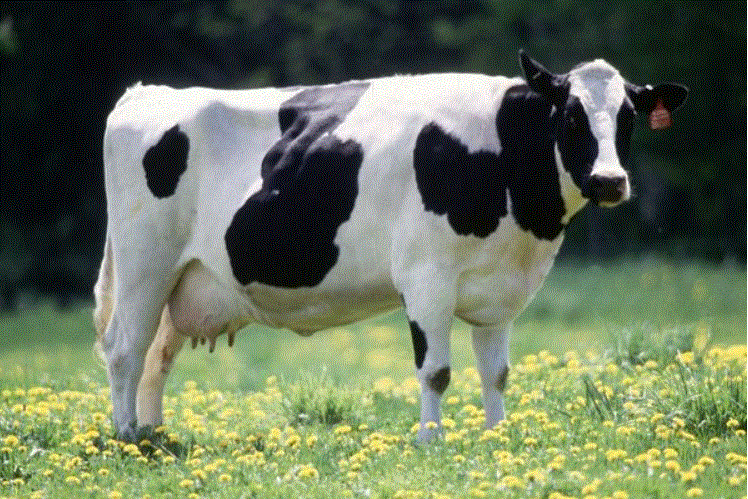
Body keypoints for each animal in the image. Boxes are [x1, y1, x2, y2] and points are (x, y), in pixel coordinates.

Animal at [94, 51, 687, 443]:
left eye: (629, 117)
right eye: (570, 115)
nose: (610, 181)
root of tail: (147, 93)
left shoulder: (499, 291)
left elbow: (496, 372)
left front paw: (498, 438)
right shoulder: (427, 277)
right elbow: (436, 370)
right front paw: (430, 442)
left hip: (183, 279)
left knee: (156, 357)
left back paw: (156, 435)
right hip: (145, 264)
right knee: (125, 348)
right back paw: (127, 438)